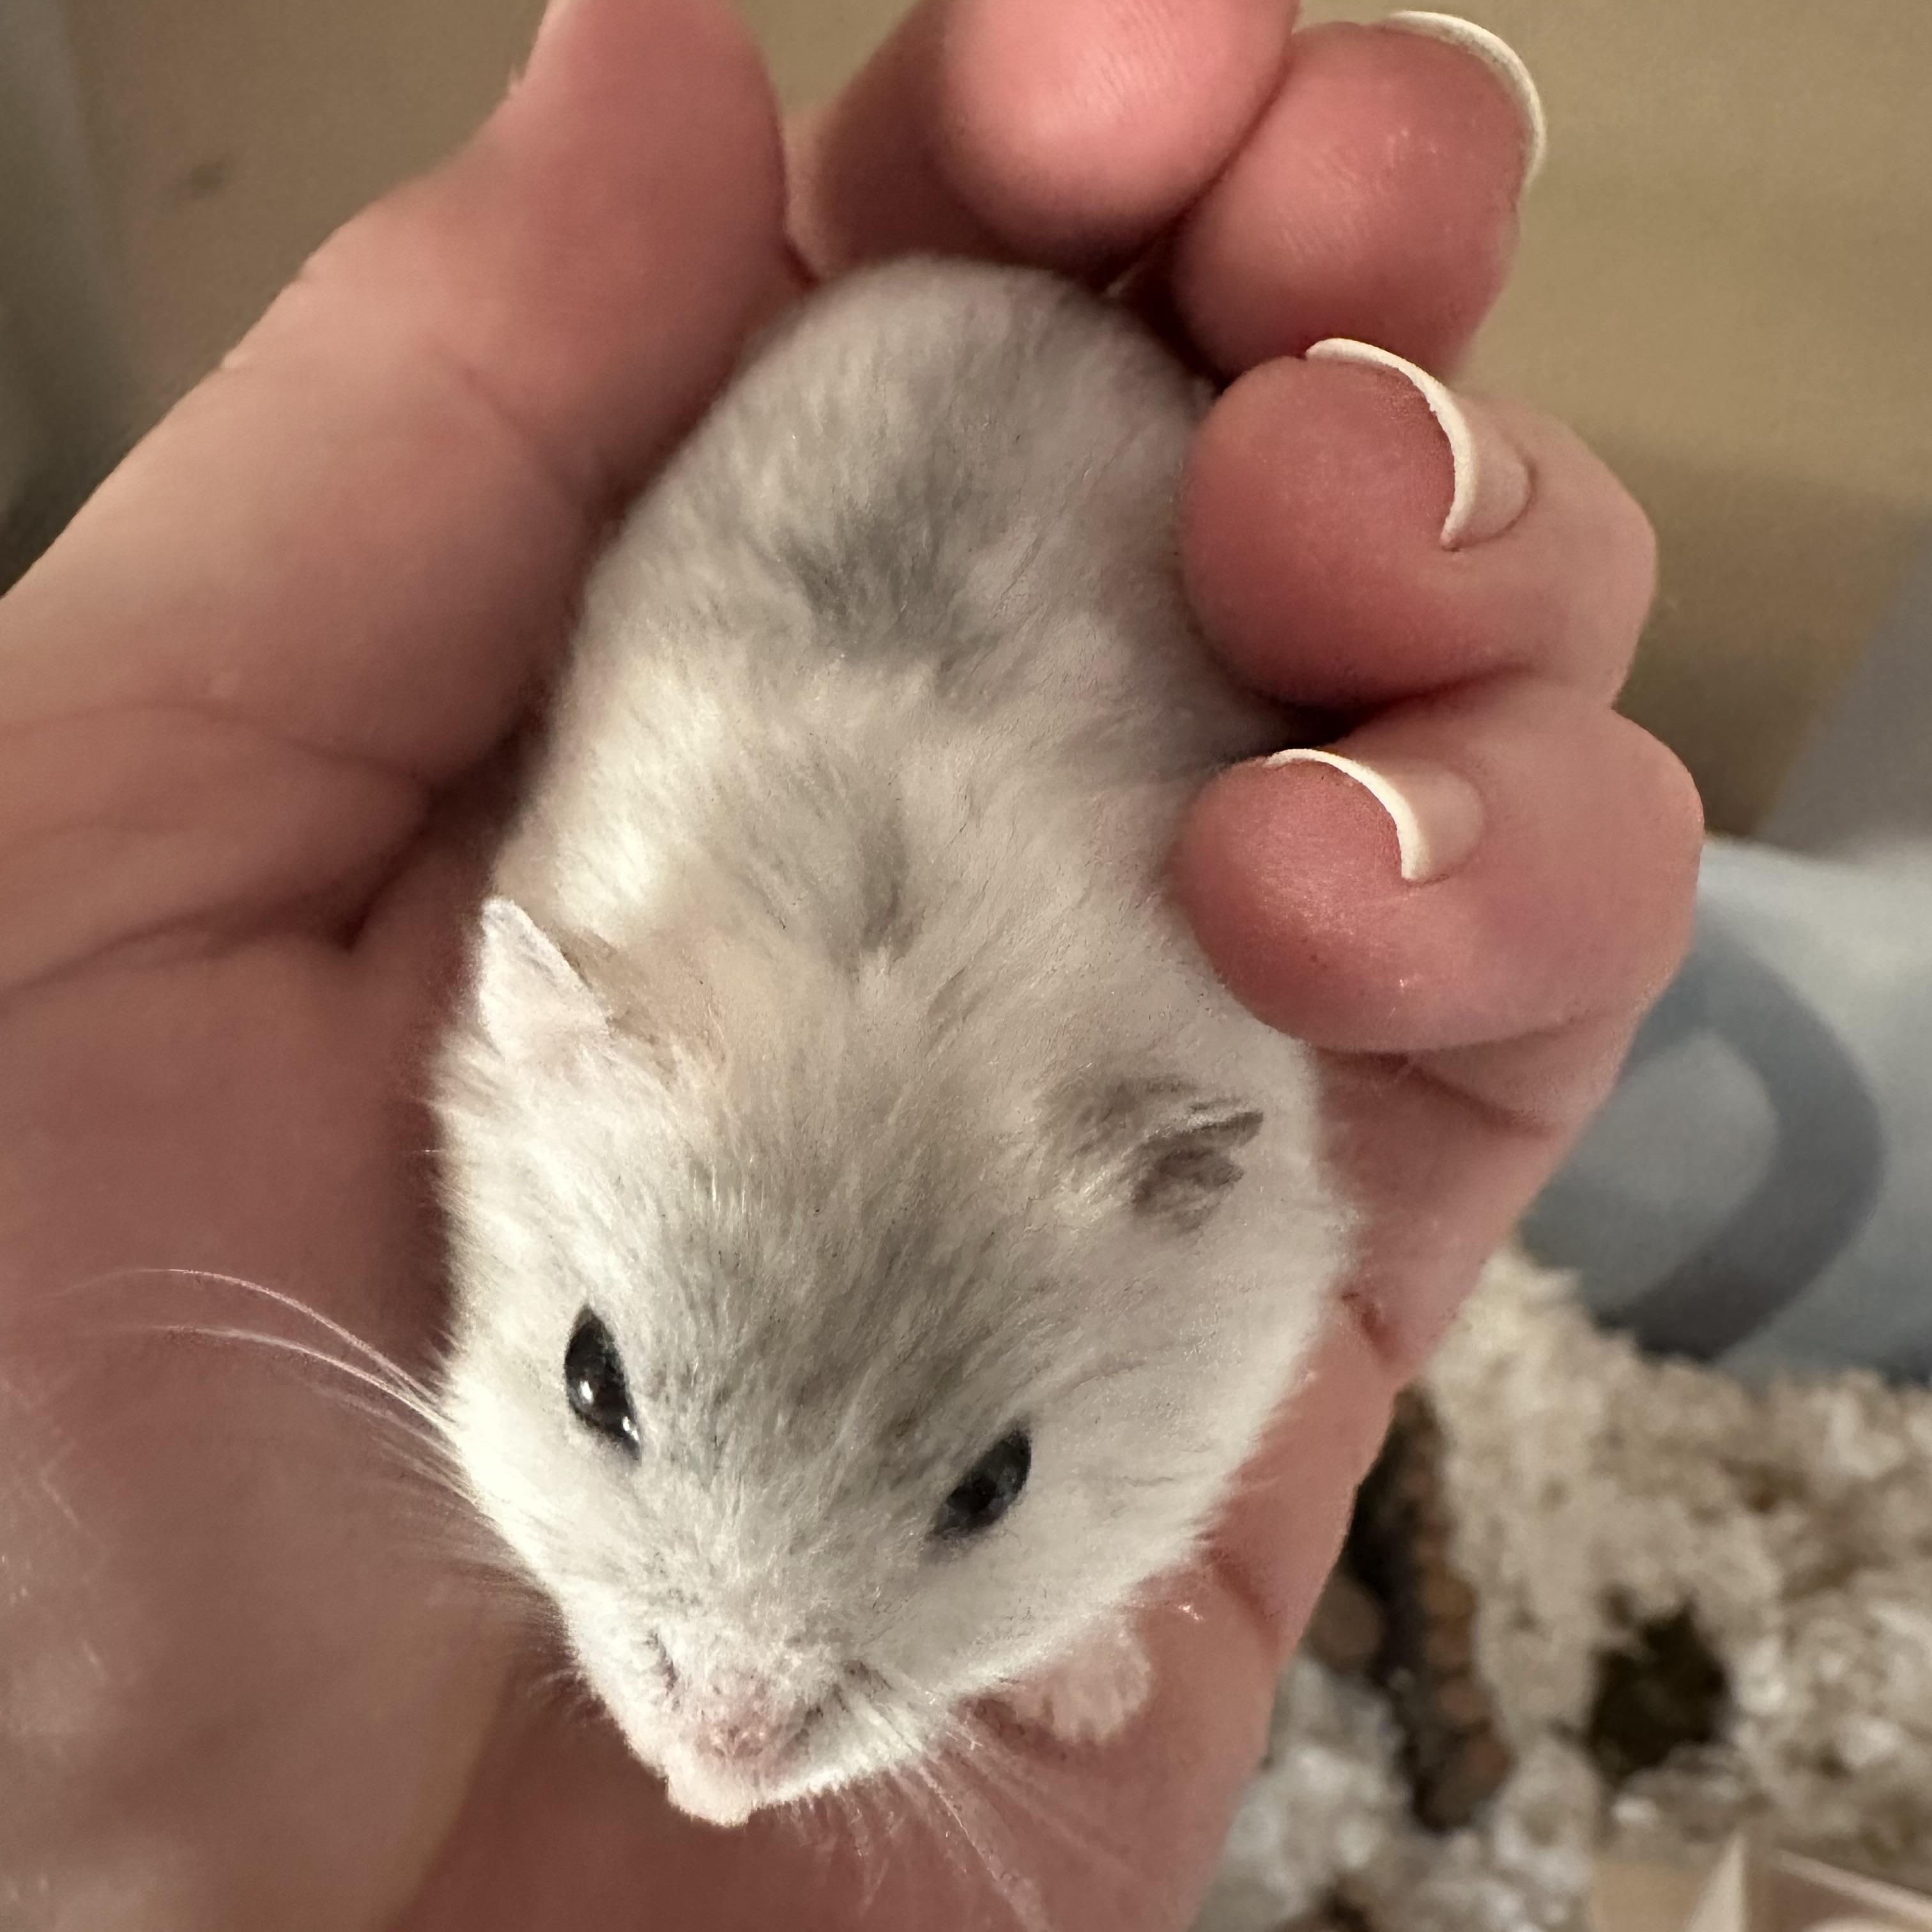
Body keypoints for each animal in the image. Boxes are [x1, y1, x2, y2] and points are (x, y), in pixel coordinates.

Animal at [430, 258, 1351, 1828]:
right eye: (587, 1379)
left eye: (996, 1485)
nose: (715, 1781)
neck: (894, 975)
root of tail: (1032, 282)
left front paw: (1094, 1707)